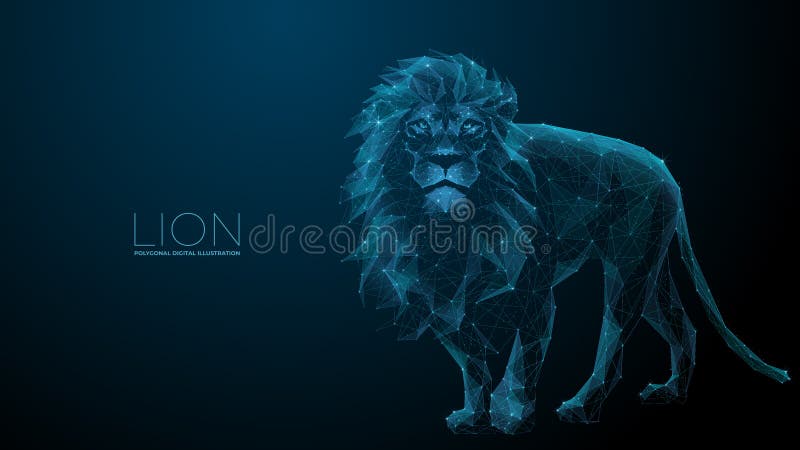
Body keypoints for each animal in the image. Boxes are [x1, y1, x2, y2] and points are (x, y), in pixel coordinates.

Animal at [341, 53, 788, 434]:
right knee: (682, 325)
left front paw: (513, 417)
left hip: (628, 265)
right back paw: (672, 393)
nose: (446, 158)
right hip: (651, 273)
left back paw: (582, 407)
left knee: (612, 340)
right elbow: (472, 360)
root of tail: (663, 169)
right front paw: (475, 417)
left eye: (472, 128)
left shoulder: (534, 294)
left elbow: (523, 361)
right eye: (418, 127)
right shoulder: (436, 294)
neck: (453, 222)